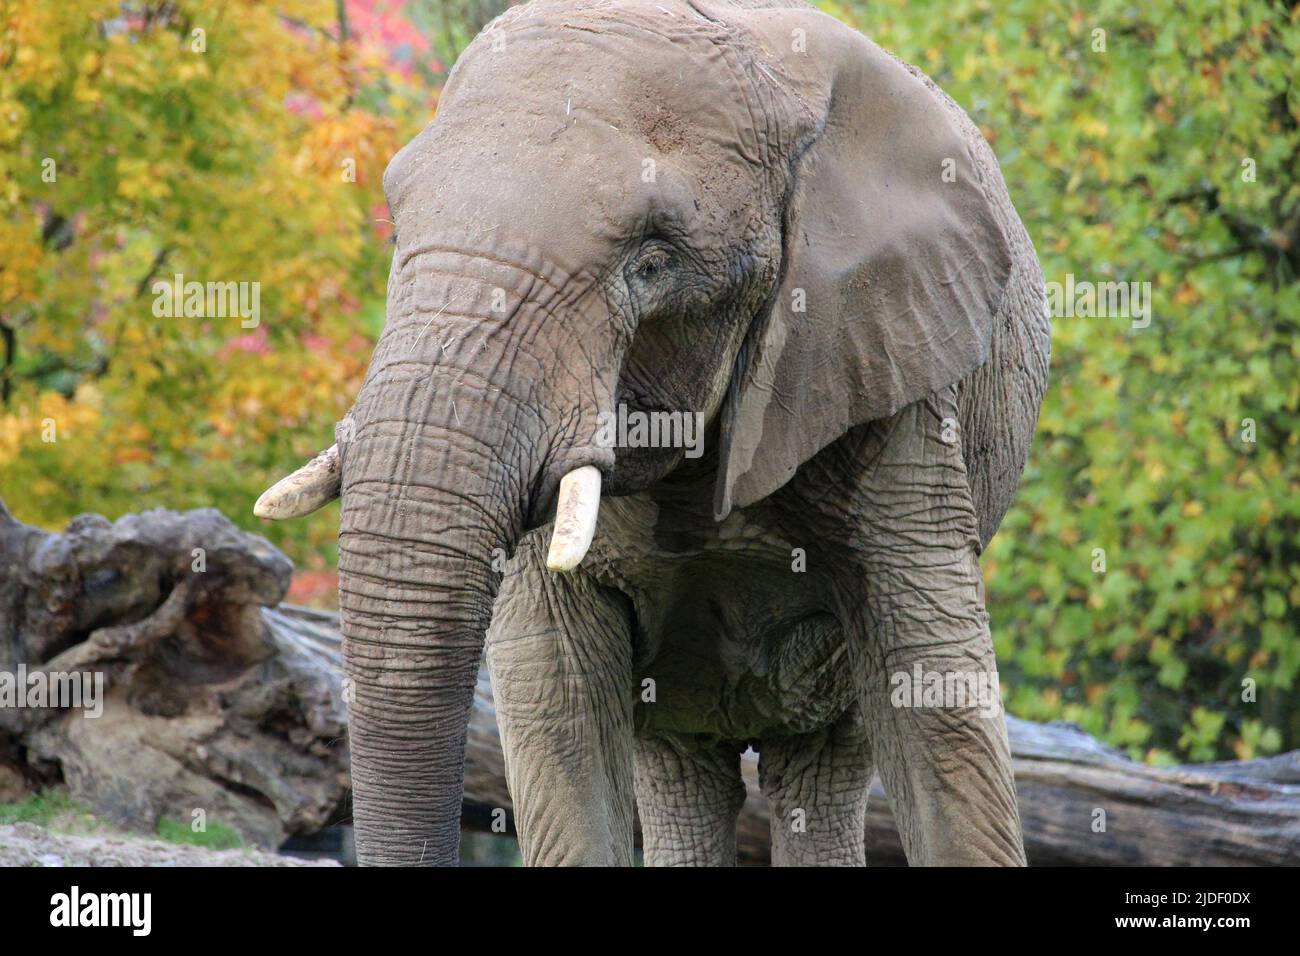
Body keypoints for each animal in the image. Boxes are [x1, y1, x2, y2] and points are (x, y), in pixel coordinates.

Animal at [255, 0, 1051, 866]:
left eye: (654, 260)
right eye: (397, 225)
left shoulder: (893, 378)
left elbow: (936, 701)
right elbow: (558, 708)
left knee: (823, 766)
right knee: (679, 771)